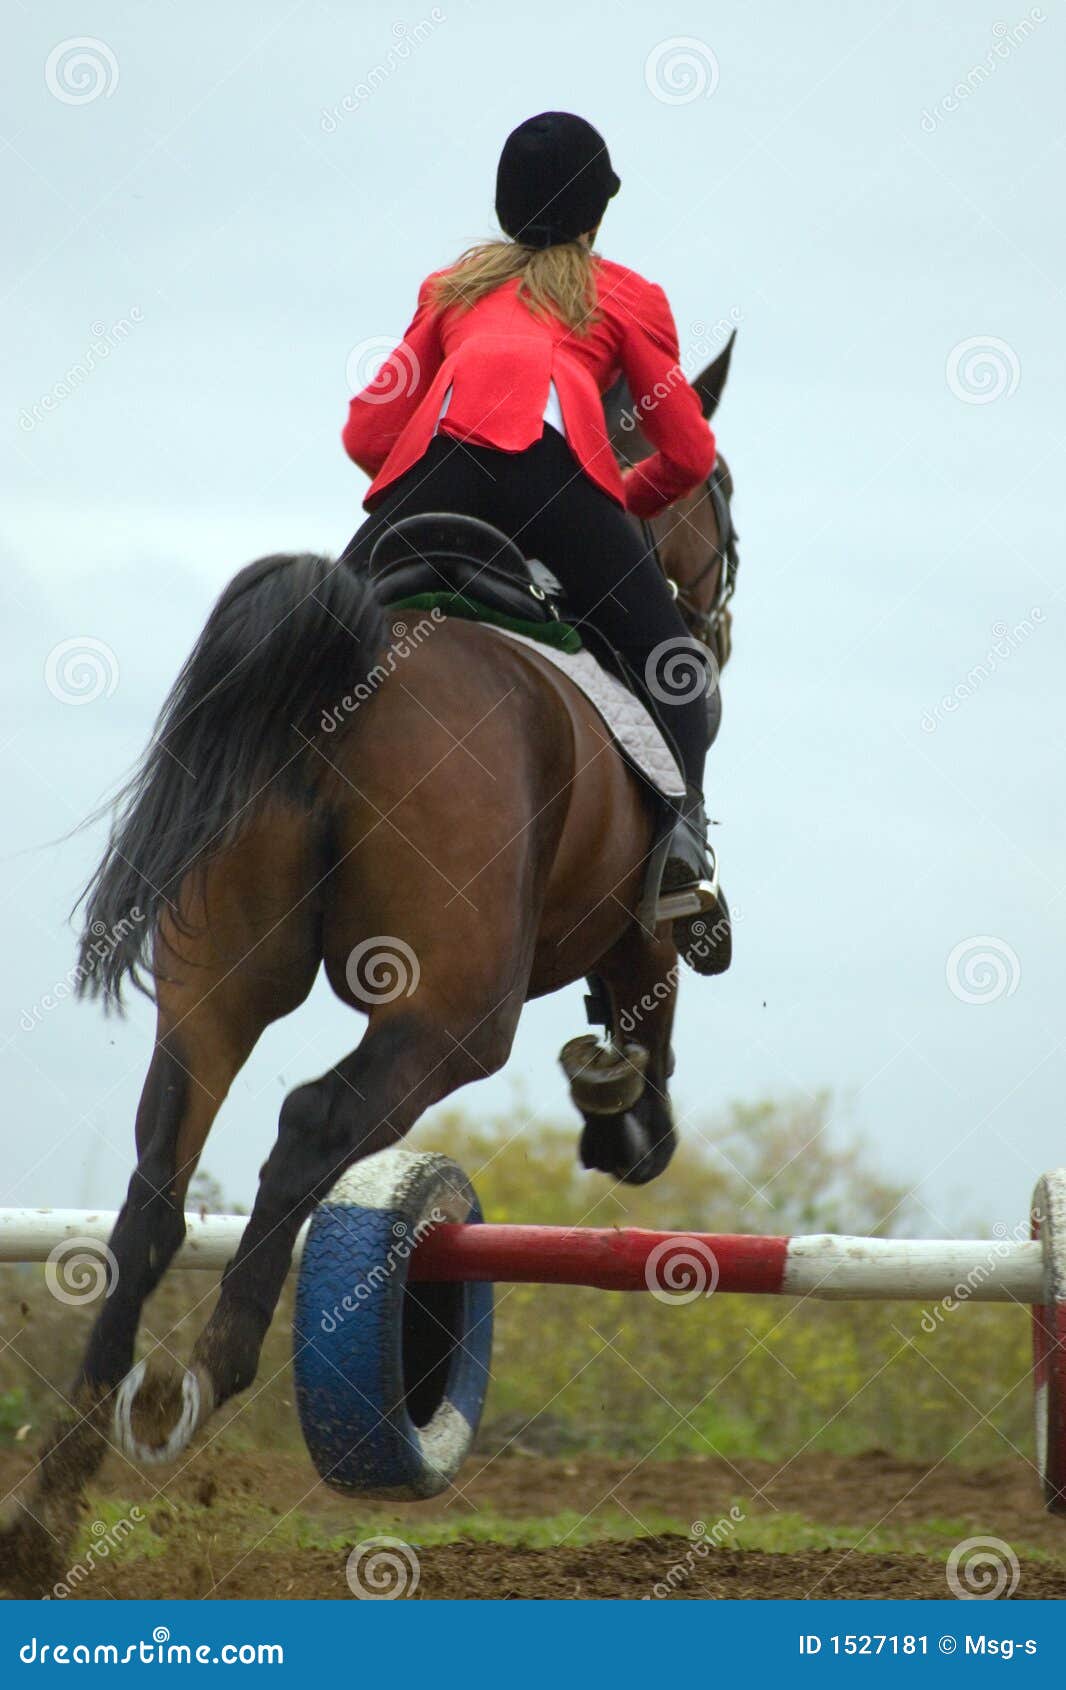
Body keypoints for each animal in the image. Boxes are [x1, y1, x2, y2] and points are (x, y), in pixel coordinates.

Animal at [0, 334, 738, 1593]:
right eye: (722, 492)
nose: (723, 619)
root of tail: (343, 673)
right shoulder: (640, 912)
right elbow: (651, 995)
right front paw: (626, 1116)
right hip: (454, 1014)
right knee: (311, 1122)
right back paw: (206, 1369)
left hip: (216, 988)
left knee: (156, 1183)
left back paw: (53, 1498)